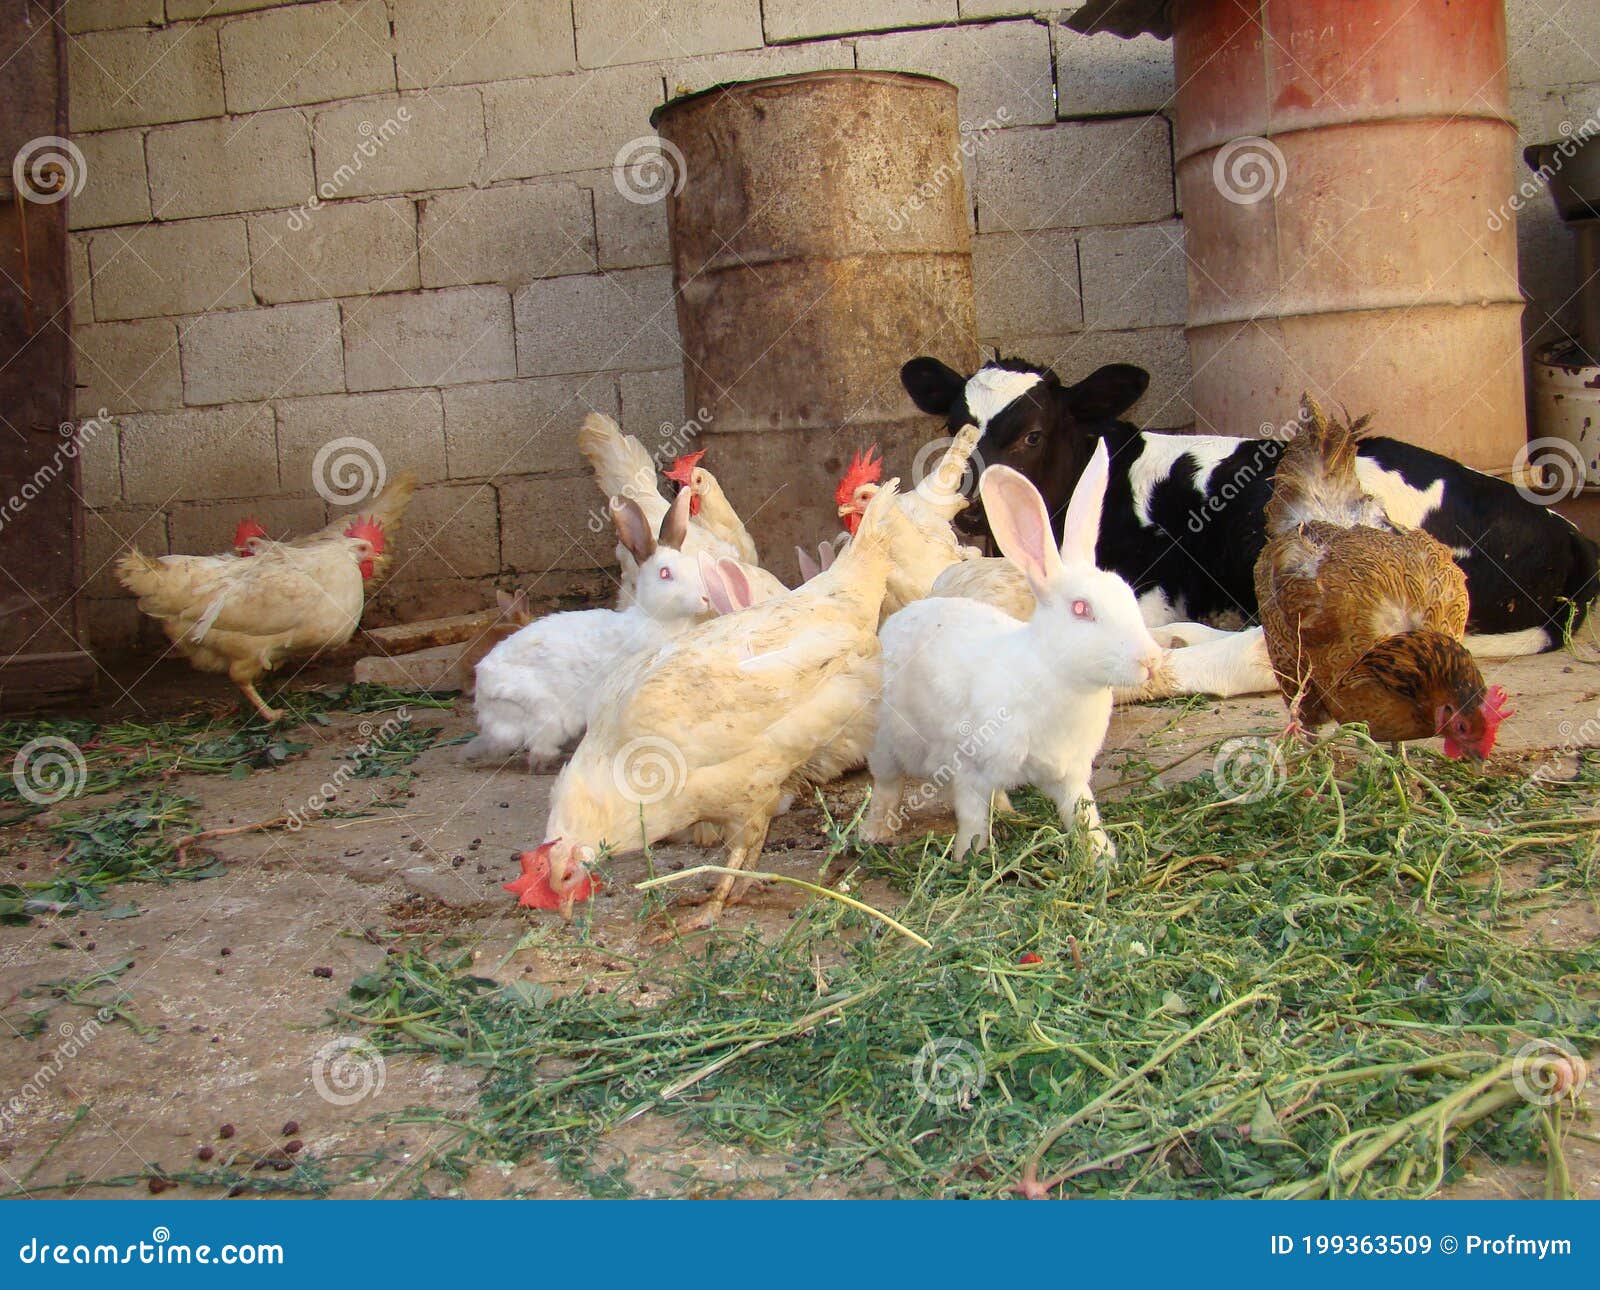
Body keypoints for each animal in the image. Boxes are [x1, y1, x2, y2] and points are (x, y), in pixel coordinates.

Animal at [462, 489, 718, 771]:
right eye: (665, 574)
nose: (706, 597)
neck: (655, 618)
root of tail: (485, 706)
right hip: (545, 714)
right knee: (539, 751)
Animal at [864, 441, 1163, 861]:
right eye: (1081, 609)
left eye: (1127, 595)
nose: (1150, 661)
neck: (1053, 672)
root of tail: (901, 617)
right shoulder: (970, 767)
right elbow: (972, 816)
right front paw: (968, 857)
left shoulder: (1069, 774)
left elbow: (1083, 815)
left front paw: (1102, 859)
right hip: (886, 743)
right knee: (887, 786)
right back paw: (874, 833)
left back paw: (1008, 811)